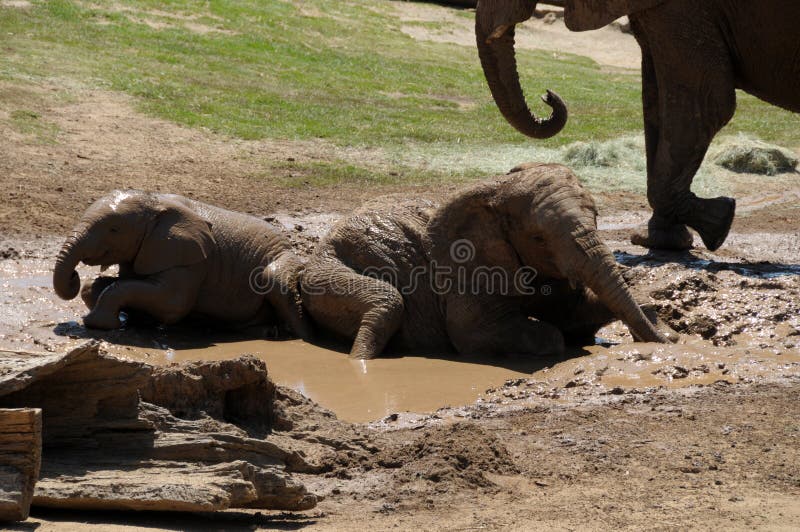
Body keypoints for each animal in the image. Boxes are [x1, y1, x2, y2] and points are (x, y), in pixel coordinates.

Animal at [53, 190, 312, 338]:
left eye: (114, 229)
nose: (74, 276)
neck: (156, 203)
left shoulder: (190, 260)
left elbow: (172, 303)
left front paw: (98, 324)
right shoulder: (146, 252)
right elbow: (101, 286)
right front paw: (136, 320)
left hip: (280, 264)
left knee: (278, 285)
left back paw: (300, 338)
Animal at [300, 163, 668, 359]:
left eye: (597, 217)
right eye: (539, 237)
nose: (669, 342)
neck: (498, 189)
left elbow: (573, 313)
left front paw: (649, 310)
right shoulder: (466, 271)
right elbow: (473, 331)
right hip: (327, 274)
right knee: (386, 303)